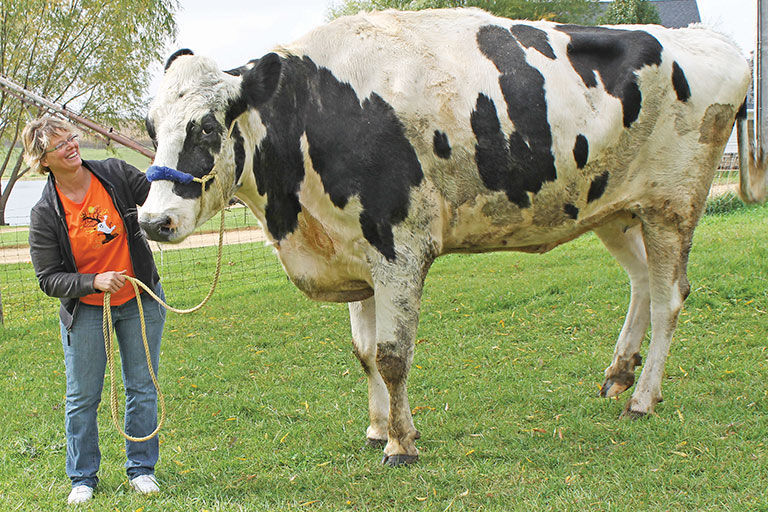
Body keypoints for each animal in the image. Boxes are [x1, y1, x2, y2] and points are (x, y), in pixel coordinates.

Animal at [138, 8, 763, 466]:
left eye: (207, 127)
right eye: (149, 125)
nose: (151, 221)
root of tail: (707, 39)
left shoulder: (398, 249)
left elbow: (392, 355)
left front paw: (400, 443)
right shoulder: (355, 251)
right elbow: (364, 353)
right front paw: (377, 427)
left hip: (671, 205)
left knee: (668, 298)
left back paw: (642, 397)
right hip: (614, 208)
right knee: (640, 284)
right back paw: (617, 375)